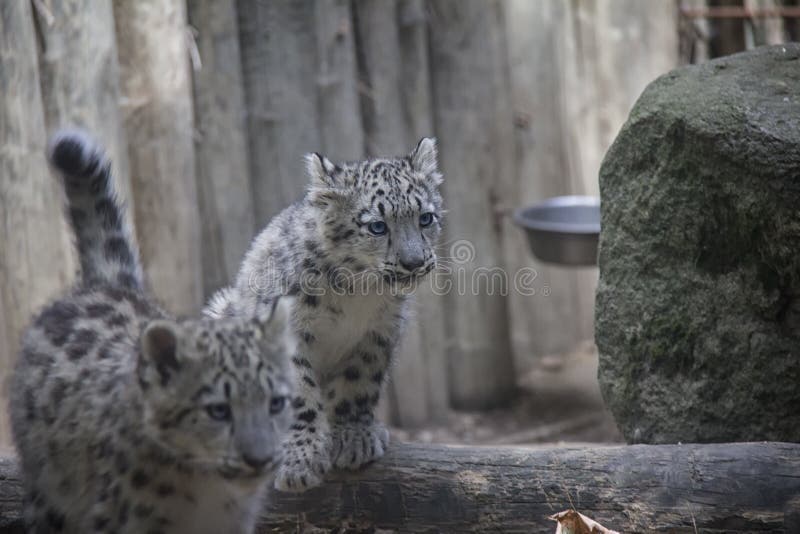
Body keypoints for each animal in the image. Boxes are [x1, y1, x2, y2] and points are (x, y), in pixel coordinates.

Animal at [8, 130, 297, 534]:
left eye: (276, 403)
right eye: (218, 410)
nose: (259, 458)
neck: (209, 499)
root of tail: (108, 284)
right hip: (48, 493)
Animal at [205, 137, 444, 492]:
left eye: (425, 218)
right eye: (377, 226)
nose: (414, 262)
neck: (358, 291)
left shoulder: (378, 334)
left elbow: (359, 383)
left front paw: (354, 438)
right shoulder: (288, 333)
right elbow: (299, 394)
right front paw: (298, 461)